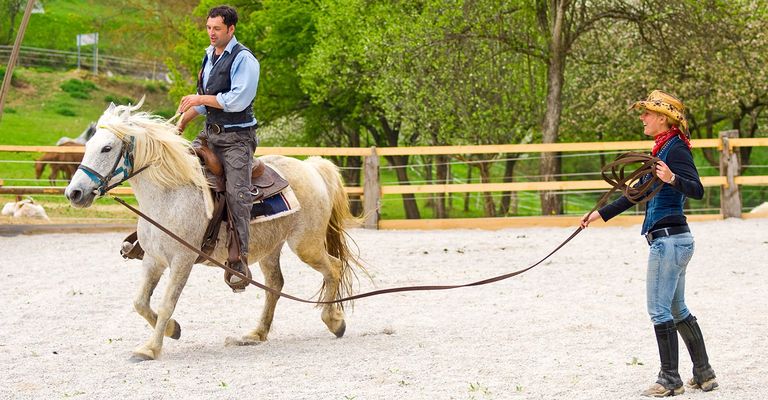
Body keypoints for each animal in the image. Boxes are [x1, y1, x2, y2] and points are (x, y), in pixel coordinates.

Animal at [64, 102, 364, 361]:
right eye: (88, 146)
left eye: (107, 148)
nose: (74, 193)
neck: (169, 195)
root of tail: (311, 166)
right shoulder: (153, 260)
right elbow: (140, 302)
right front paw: (172, 329)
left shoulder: (182, 261)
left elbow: (166, 303)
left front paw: (150, 349)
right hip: (271, 247)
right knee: (275, 284)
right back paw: (257, 333)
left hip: (305, 244)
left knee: (334, 268)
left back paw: (334, 321)